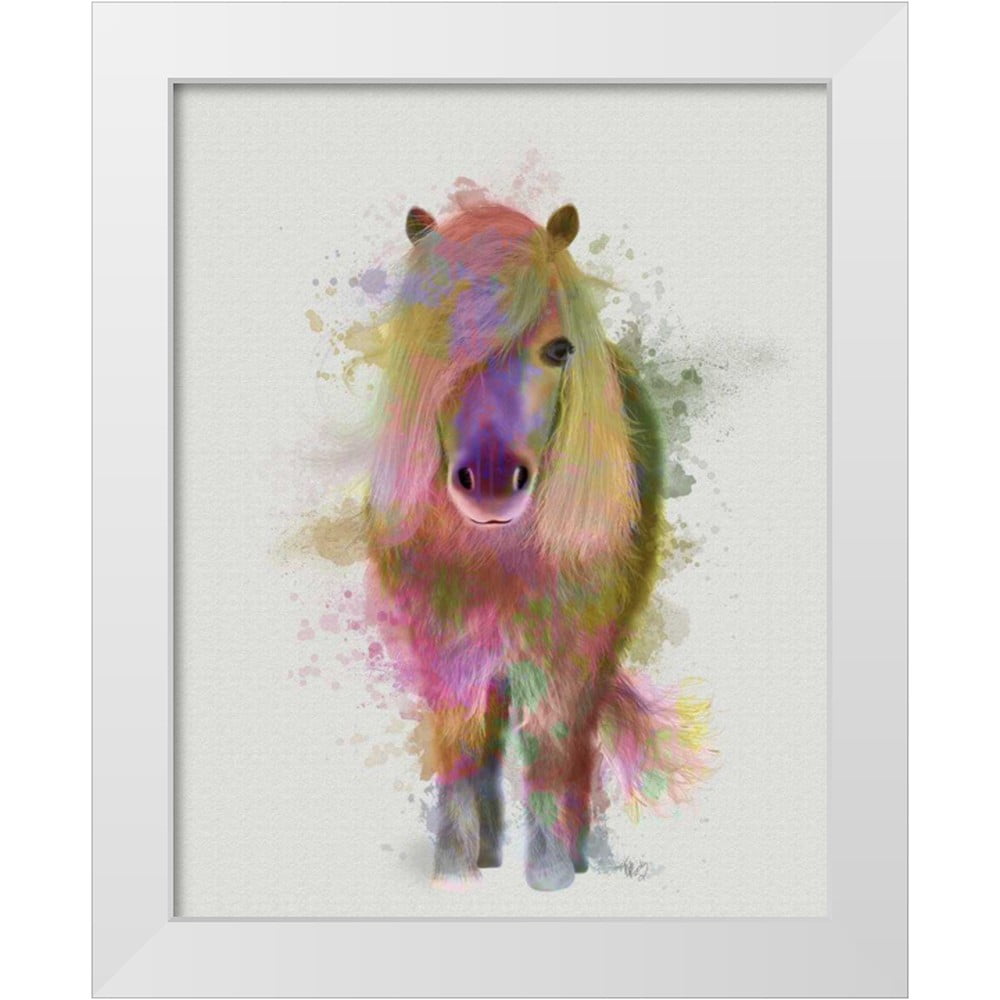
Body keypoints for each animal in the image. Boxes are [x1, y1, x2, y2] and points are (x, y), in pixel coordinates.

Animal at [363, 201, 711, 890]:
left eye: (557, 350)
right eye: (435, 344)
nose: (493, 484)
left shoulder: (566, 654)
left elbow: (550, 749)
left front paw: (550, 875)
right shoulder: (448, 652)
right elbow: (461, 749)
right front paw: (454, 870)